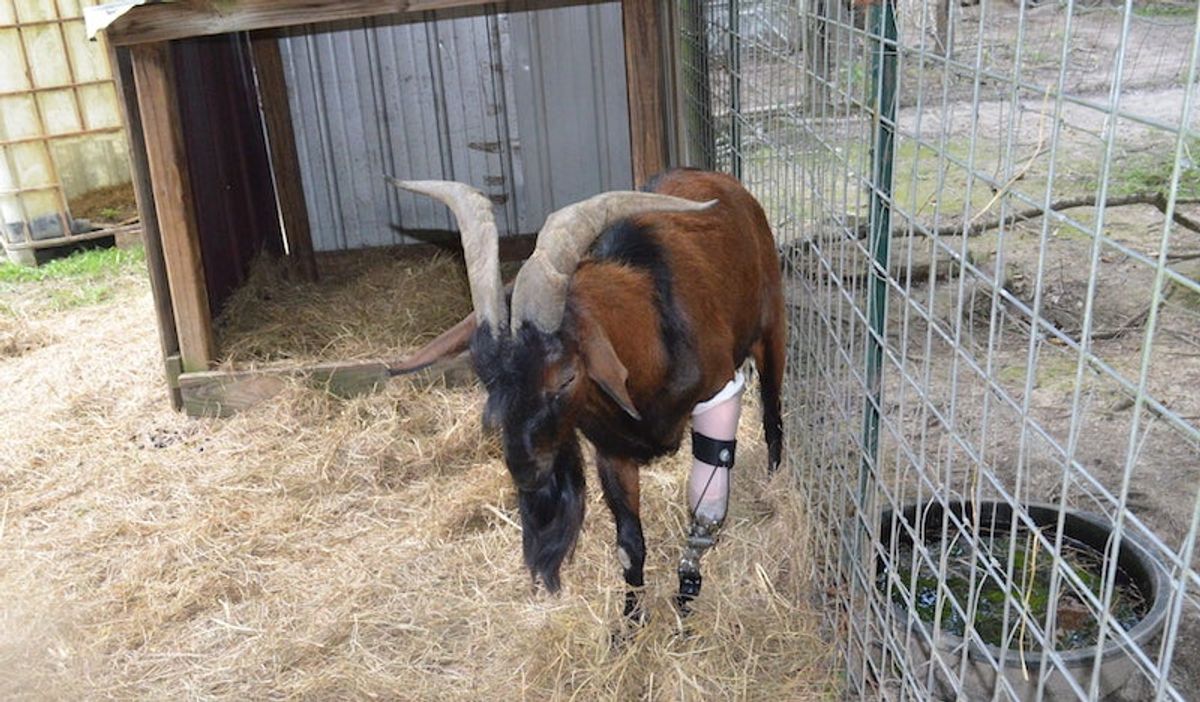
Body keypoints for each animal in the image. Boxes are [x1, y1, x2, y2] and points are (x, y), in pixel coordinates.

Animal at [388, 169, 786, 615]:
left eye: (564, 378)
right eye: (484, 375)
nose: (525, 471)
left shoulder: (715, 394)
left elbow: (704, 518)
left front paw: (684, 605)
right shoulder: (611, 449)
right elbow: (629, 545)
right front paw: (630, 623)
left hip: (772, 327)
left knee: (772, 413)